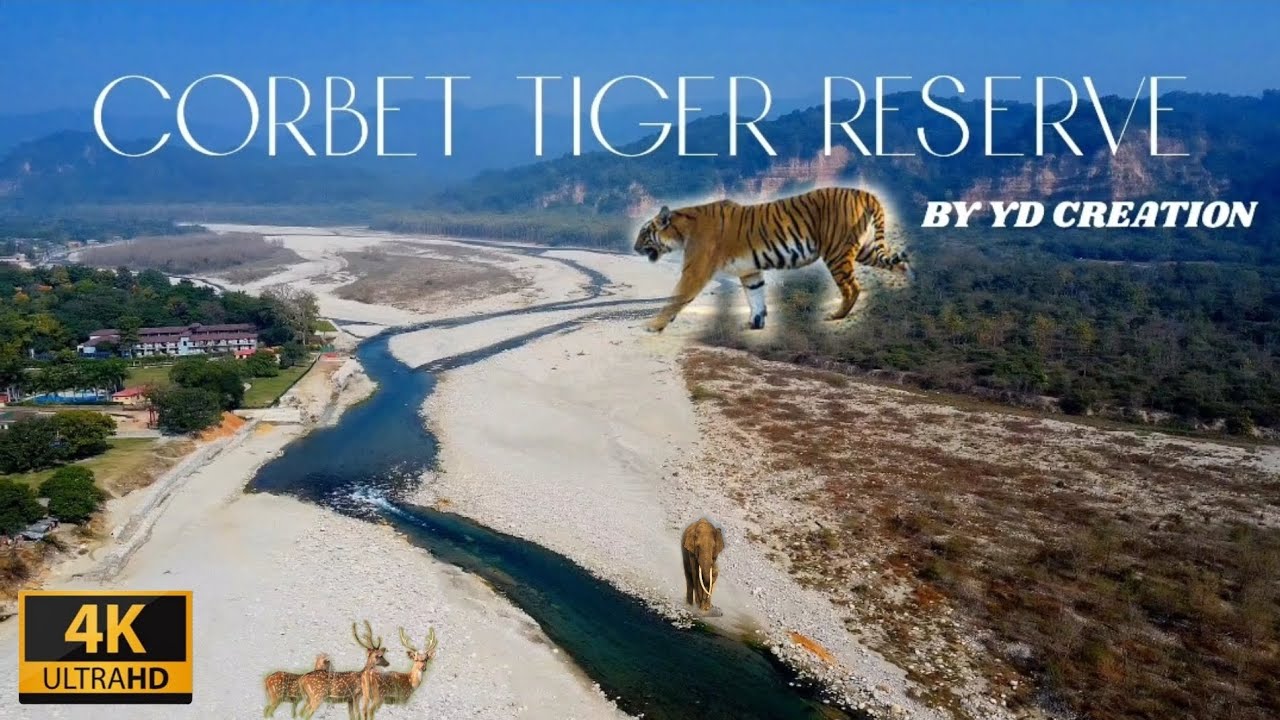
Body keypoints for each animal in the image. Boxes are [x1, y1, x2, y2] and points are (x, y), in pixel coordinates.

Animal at [633, 186, 913, 332]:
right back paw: (907, 279)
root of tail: (863, 192)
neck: (682, 231)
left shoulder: (695, 271)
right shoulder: (749, 271)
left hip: (836, 251)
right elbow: (756, 296)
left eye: (644, 232)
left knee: (852, 287)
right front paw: (755, 323)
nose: (634, 248)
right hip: (861, 247)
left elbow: (676, 298)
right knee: (891, 261)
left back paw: (836, 316)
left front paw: (653, 324)